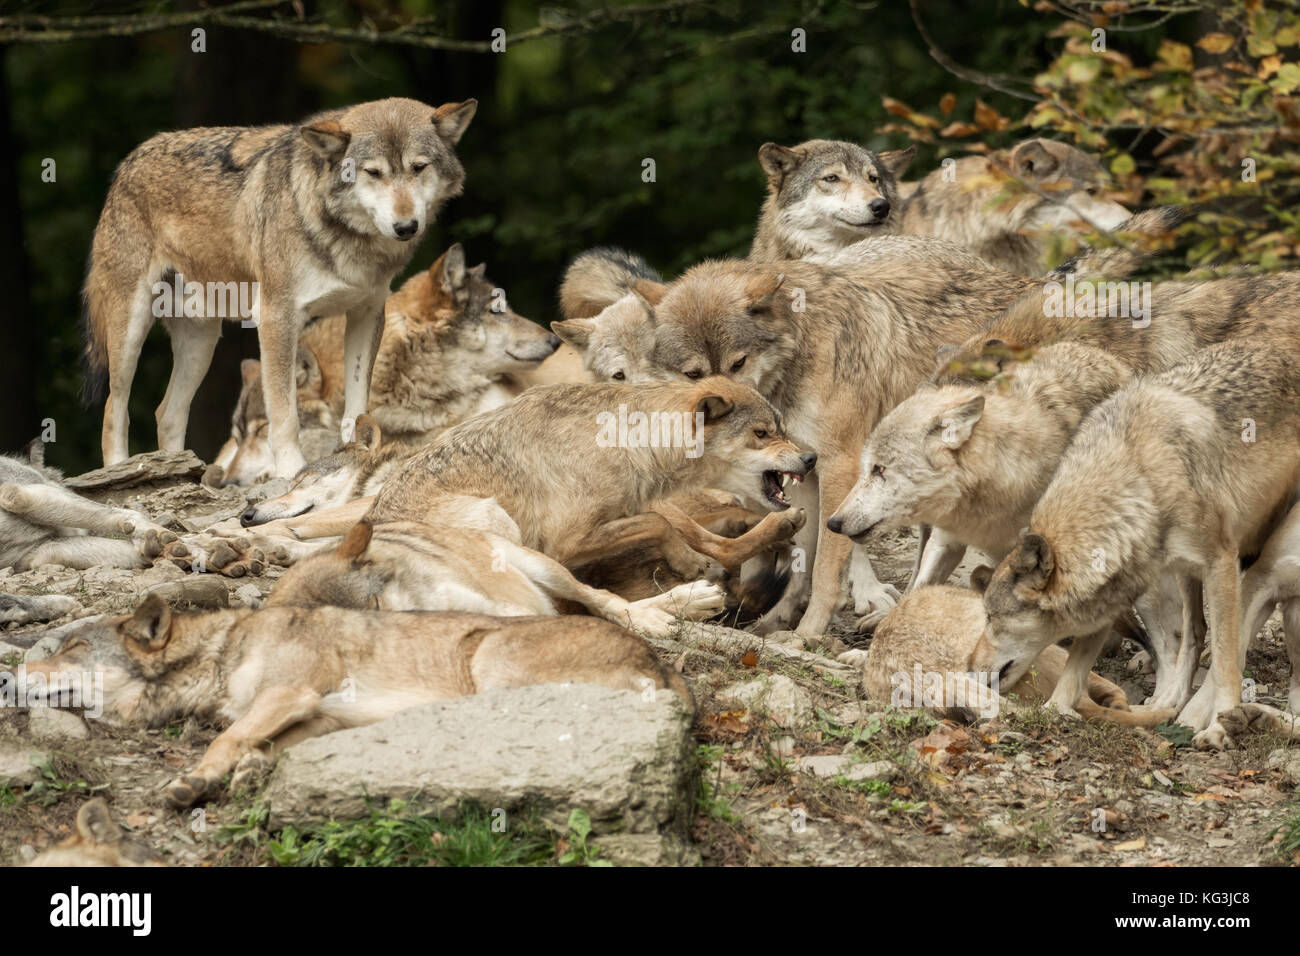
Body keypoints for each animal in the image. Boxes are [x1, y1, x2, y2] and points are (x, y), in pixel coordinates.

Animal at [8, 594, 694, 808]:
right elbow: (264, 744)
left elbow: (228, 736)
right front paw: (248, 772)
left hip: (489, 659)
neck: (221, 653)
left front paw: (194, 782)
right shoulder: (319, 715)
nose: (10, 674)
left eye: (71, 647)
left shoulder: (292, 690)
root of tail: (665, 666)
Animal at [82, 97, 477, 479]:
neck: (344, 235)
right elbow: (284, 413)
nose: (406, 226)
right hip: (130, 332)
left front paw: (355, 452)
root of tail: (128, 161)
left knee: (167, 414)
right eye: (373, 173)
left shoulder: (366, 313)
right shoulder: (277, 318)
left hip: (201, 343)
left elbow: (355, 407)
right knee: (114, 411)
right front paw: (291, 470)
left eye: (418, 168)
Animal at [973, 342, 1300, 749]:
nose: (968, 671)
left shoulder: (1220, 562)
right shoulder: (1116, 588)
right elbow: (1076, 665)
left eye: (991, 617)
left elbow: (1227, 662)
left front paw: (1221, 725)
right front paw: (1054, 709)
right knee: (1193, 634)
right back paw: (1169, 704)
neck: (1140, 480)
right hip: (1185, 575)